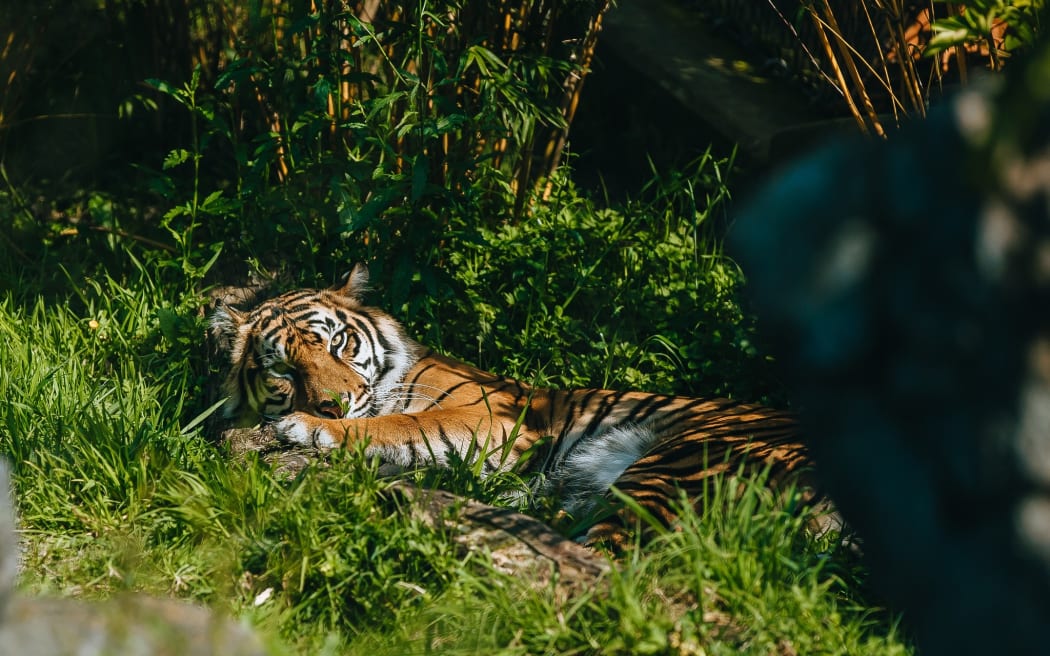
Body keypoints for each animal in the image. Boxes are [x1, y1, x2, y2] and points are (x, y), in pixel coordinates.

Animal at [210, 263, 832, 547]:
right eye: (284, 369)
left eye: (337, 343)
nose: (334, 406)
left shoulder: (493, 416)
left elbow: (404, 423)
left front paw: (308, 429)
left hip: (683, 458)